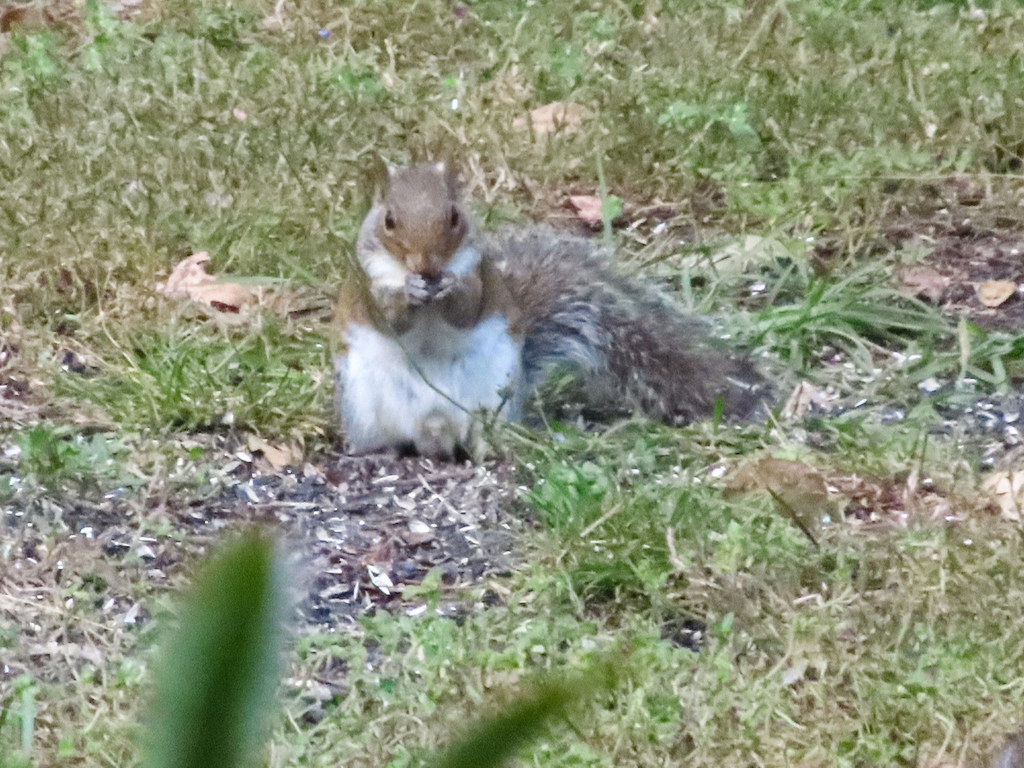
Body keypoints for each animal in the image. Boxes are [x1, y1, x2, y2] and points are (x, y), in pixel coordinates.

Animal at [332, 161, 770, 460]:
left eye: (454, 216)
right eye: (389, 220)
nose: (426, 267)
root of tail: (435, 427)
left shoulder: (481, 276)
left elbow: (467, 310)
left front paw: (451, 288)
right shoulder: (365, 282)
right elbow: (389, 317)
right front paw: (408, 291)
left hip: (492, 397)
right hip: (364, 405)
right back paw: (380, 453)